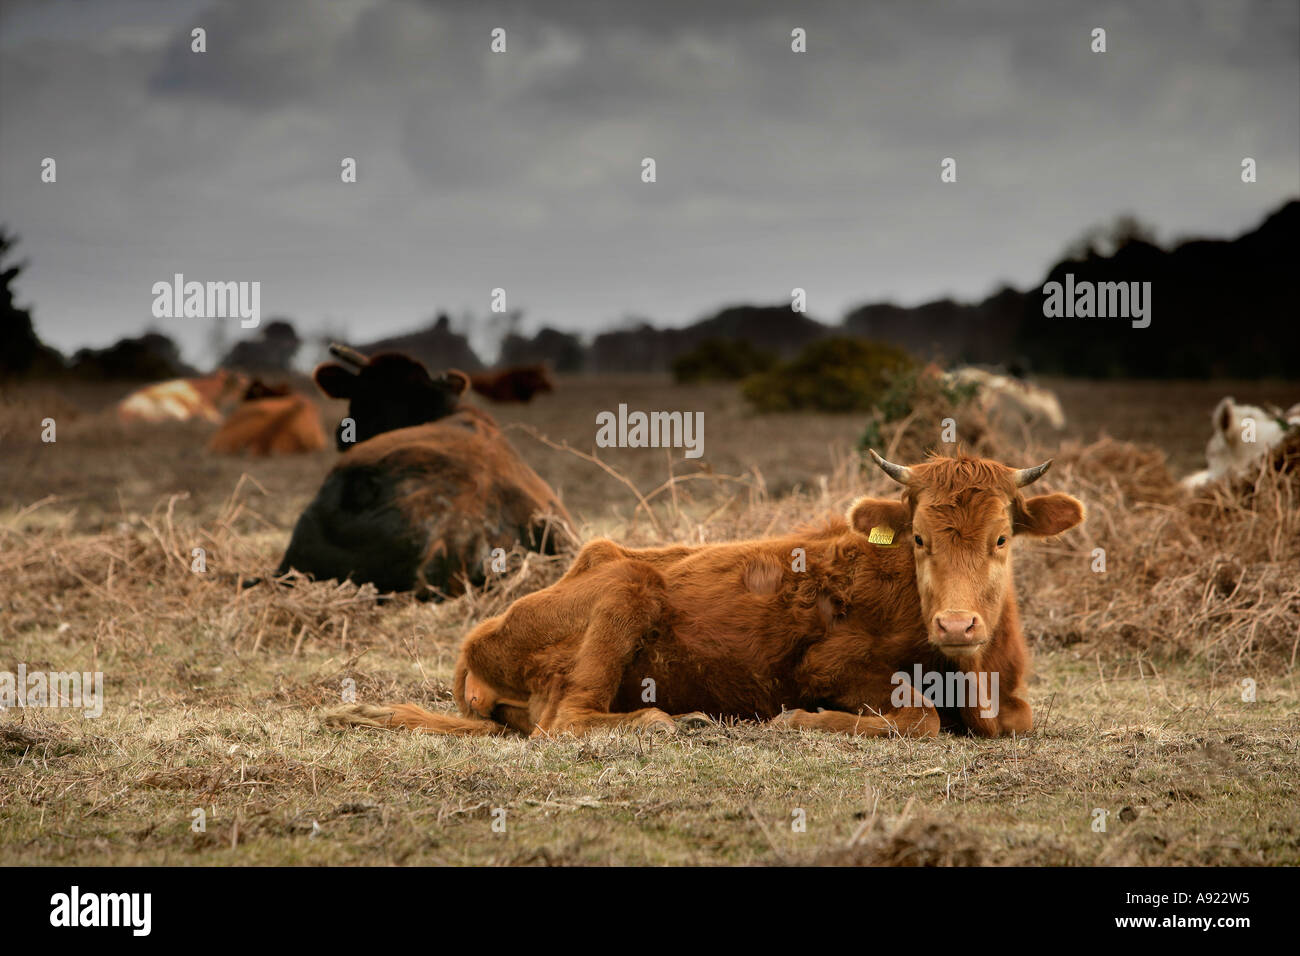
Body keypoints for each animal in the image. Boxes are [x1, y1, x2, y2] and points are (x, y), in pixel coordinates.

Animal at [326, 450, 1084, 738]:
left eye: (1002, 539)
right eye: (919, 539)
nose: (957, 625)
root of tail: (474, 640)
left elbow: (1014, 719)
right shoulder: (830, 666)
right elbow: (919, 717)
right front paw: (800, 720)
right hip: (624, 590)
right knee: (565, 720)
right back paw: (674, 721)